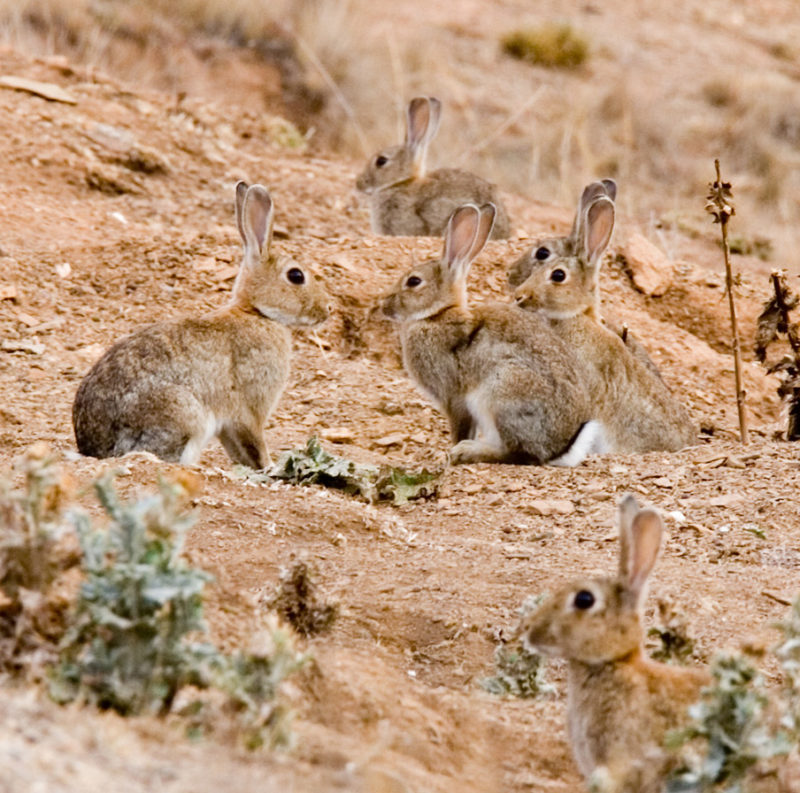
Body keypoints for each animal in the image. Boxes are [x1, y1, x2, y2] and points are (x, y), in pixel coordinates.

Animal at [72, 181, 331, 469]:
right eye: (296, 276)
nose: (328, 308)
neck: (257, 313)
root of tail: (94, 449)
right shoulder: (250, 409)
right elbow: (256, 445)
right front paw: (271, 468)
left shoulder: (230, 425)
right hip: (183, 414)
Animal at [381, 201, 607, 466]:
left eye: (414, 281)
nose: (384, 305)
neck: (437, 314)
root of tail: (561, 448)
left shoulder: (454, 398)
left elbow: (460, 428)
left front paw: (449, 453)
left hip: (502, 392)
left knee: (518, 453)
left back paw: (467, 451)